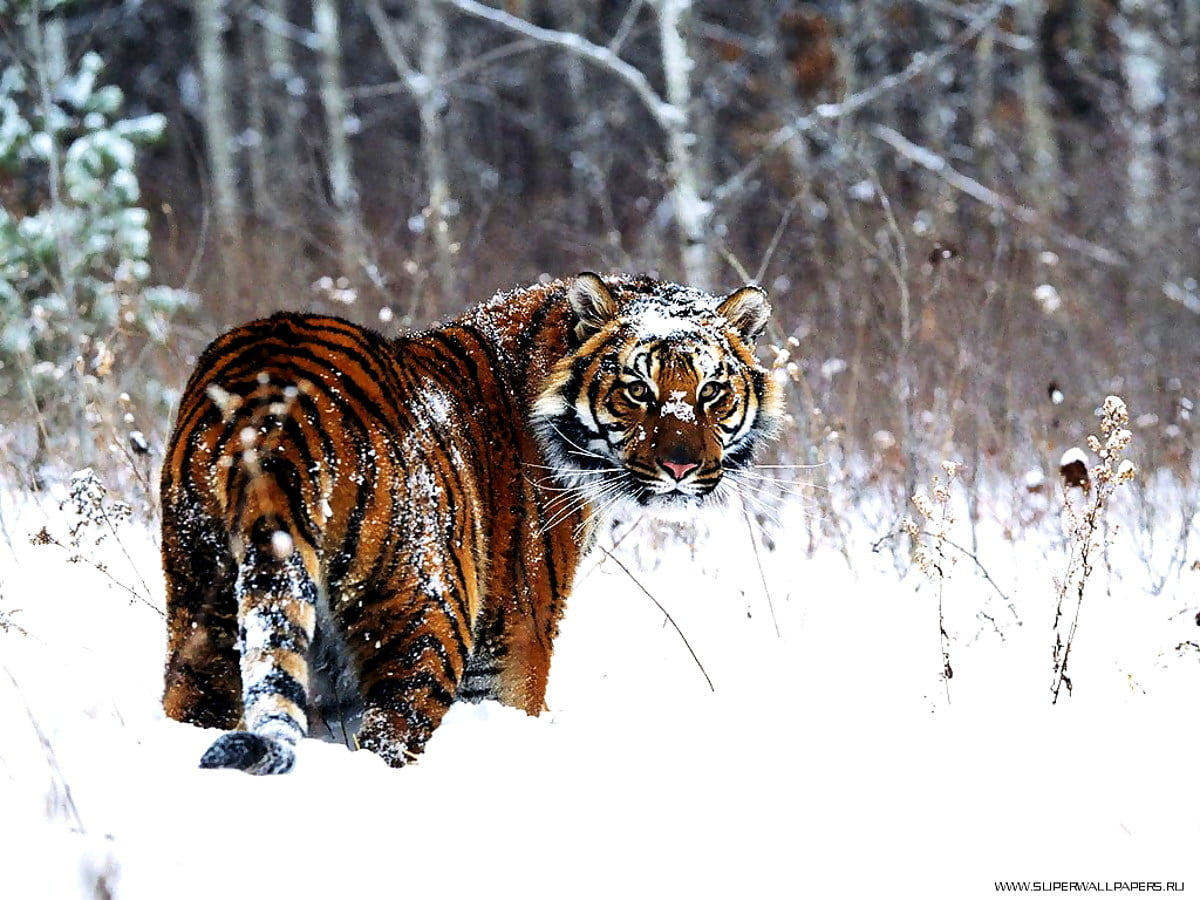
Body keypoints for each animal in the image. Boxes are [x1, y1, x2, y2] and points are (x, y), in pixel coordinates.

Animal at [160, 272, 783, 774]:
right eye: (638, 390)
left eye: (712, 392)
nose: (681, 467)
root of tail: (272, 408)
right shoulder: (515, 639)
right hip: (428, 619)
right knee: (389, 737)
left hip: (202, 604)